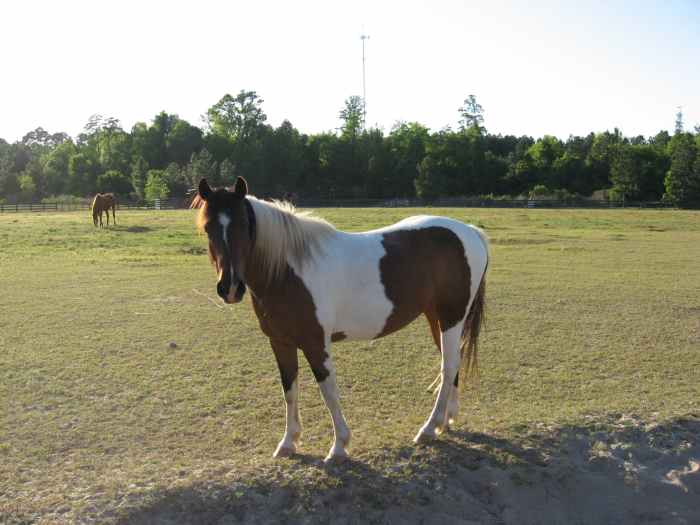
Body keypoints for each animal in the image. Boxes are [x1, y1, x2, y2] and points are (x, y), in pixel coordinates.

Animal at [193, 177, 489, 462]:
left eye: (244, 226)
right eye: (207, 228)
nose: (230, 287)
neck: (287, 272)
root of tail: (470, 232)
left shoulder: (315, 343)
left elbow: (328, 392)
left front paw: (338, 446)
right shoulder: (280, 342)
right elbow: (289, 389)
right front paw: (288, 443)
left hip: (452, 317)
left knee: (448, 366)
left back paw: (429, 428)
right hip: (436, 317)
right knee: (451, 362)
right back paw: (446, 421)